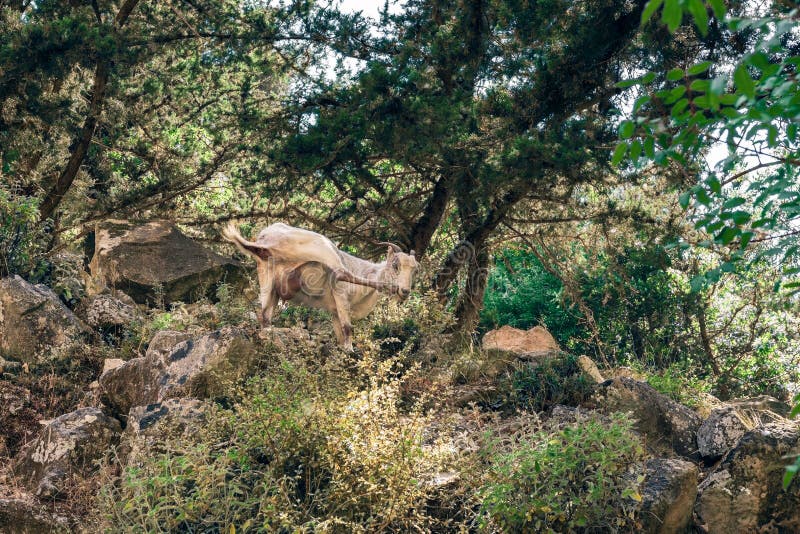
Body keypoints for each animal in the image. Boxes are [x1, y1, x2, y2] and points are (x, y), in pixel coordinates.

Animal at [222, 222, 419, 350]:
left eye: (415, 269)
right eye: (396, 265)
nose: (404, 291)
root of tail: (265, 241)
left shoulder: (335, 311)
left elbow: (340, 332)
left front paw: (344, 348)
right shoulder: (341, 296)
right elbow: (348, 327)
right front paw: (350, 350)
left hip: (267, 279)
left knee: (264, 315)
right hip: (325, 249)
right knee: (341, 273)